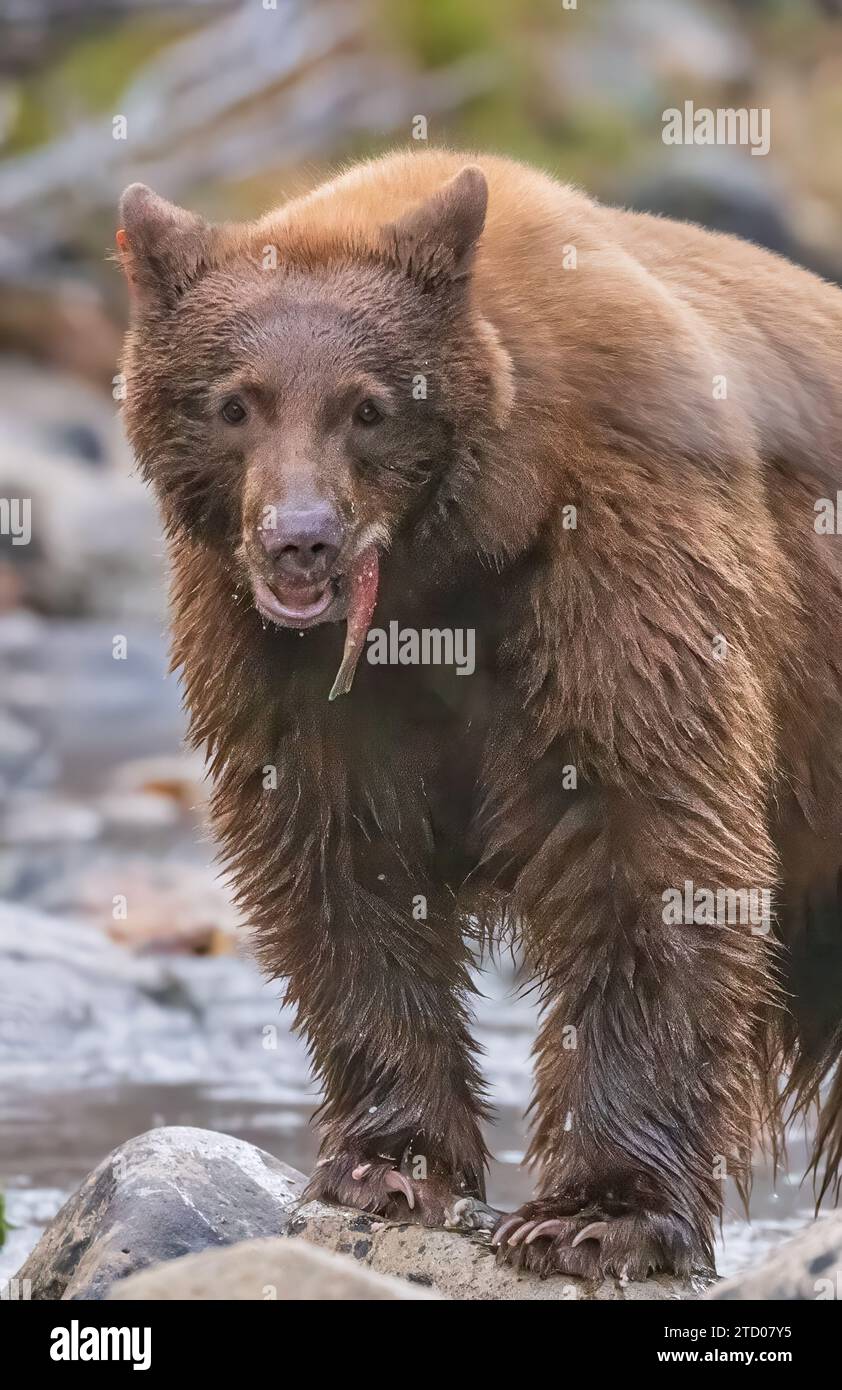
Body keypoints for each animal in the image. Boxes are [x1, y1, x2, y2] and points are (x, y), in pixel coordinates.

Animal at [117, 148, 842, 1279]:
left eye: (367, 407)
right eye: (235, 402)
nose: (300, 540)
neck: (446, 565)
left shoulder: (621, 556)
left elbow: (647, 840)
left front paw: (594, 1212)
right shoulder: (282, 663)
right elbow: (336, 861)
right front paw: (388, 1162)